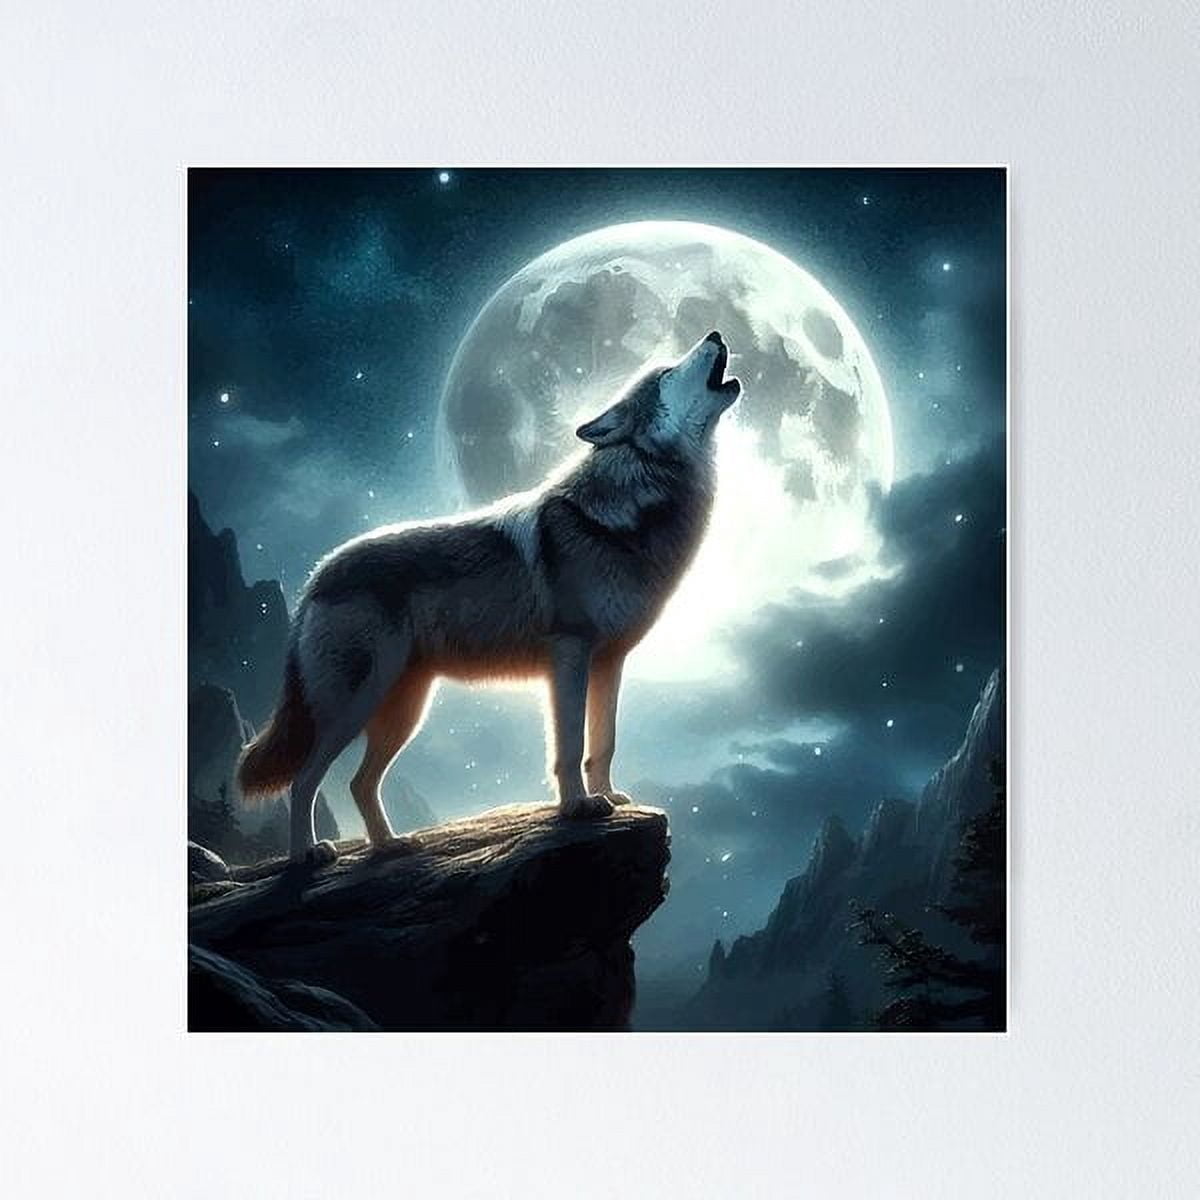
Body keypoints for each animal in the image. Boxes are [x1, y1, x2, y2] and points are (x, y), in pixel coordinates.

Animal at [237, 331, 741, 862]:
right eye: (666, 373)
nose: (715, 335)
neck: (626, 508)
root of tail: (315, 576)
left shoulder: (610, 662)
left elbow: (602, 743)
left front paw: (610, 796)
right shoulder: (570, 654)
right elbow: (569, 746)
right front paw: (578, 807)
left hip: (403, 711)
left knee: (358, 783)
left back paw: (390, 845)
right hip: (354, 705)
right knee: (303, 780)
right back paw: (307, 856)